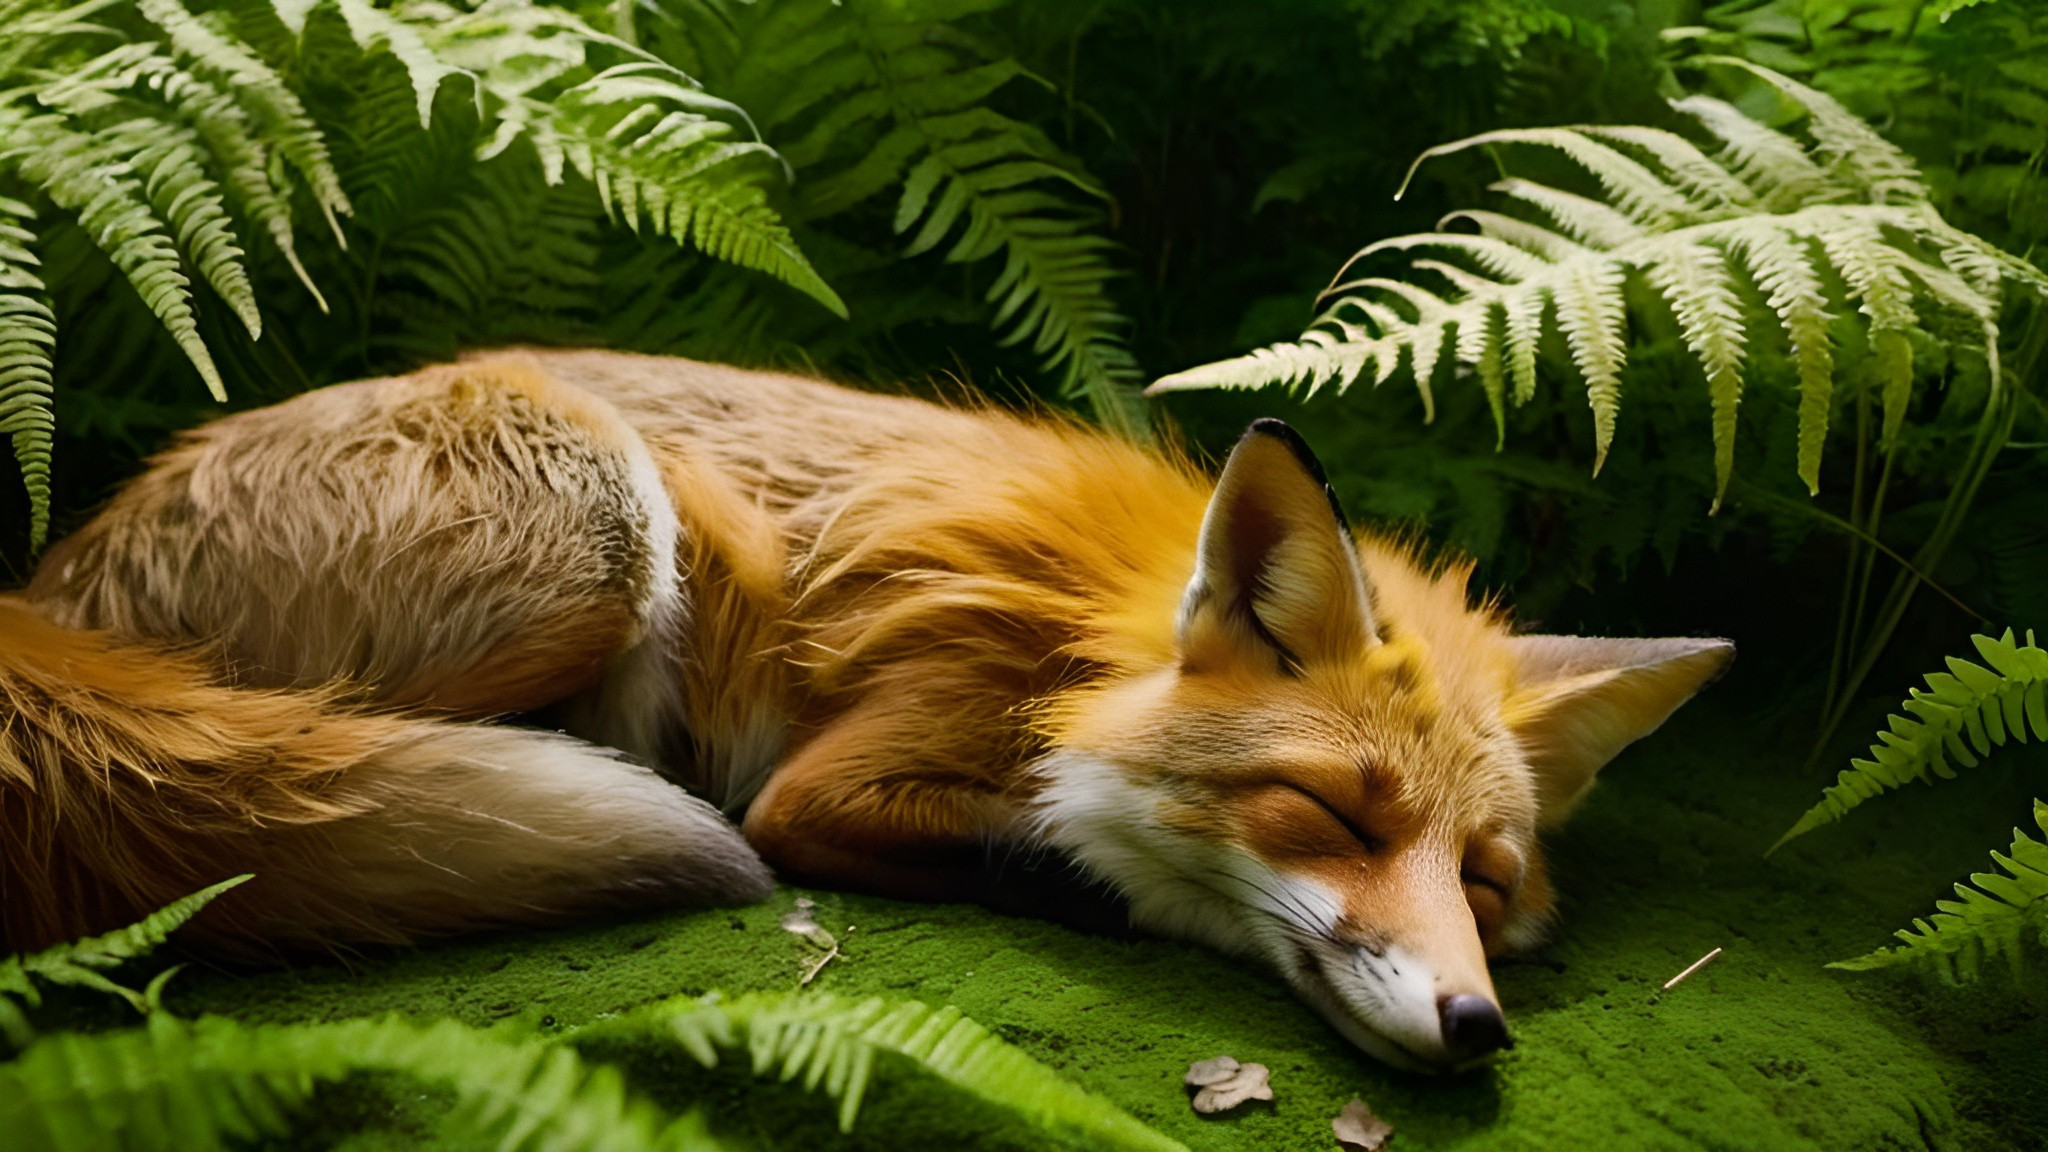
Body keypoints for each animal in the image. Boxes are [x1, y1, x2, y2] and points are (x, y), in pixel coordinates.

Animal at [0, 348, 1731, 1070]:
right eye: (1325, 815)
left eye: (1485, 885)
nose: (1478, 1026)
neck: (1083, 649)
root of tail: (58, 588)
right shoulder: (850, 773)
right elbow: (1076, 864)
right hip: (595, 536)